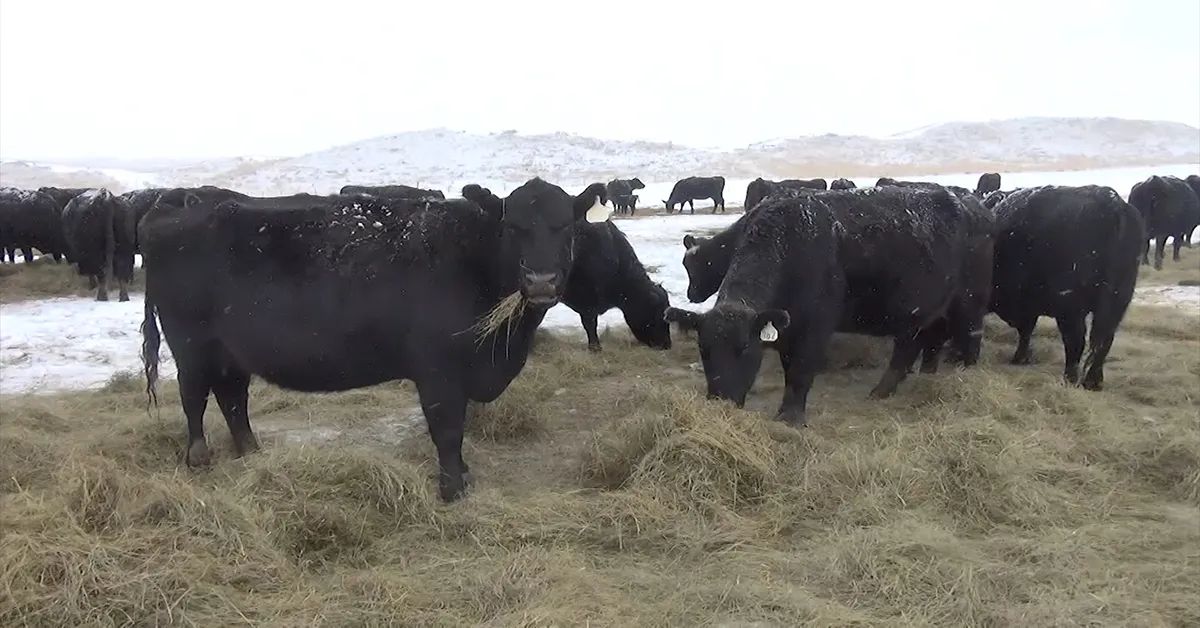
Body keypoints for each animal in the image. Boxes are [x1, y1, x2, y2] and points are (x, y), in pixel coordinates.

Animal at [140, 178, 610, 502]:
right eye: (513, 227)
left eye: (566, 226)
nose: (542, 280)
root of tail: (177, 200)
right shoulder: (438, 370)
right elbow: (447, 429)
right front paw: (452, 489)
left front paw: (463, 477)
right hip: (191, 343)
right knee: (193, 396)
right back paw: (199, 458)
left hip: (231, 350)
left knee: (232, 397)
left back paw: (252, 453)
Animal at [679, 186, 973, 403]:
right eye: (703, 350)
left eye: (743, 349)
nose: (721, 399)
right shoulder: (788, 325)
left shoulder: (816, 323)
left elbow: (801, 370)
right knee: (922, 341)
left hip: (964, 302)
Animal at [990, 186, 1143, 389]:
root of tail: (1111, 201)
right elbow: (1027, 330)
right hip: (1118, 301)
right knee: (1104, 340)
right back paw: (1093, 381)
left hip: (1070, 309)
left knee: (1076, 340)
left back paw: (1069, 379)